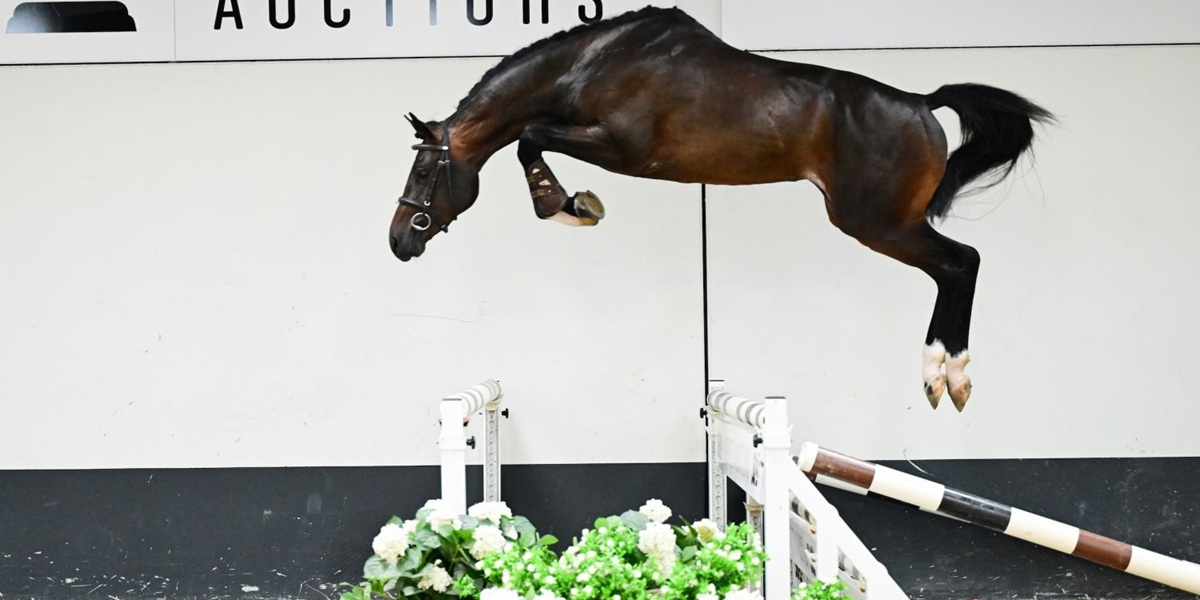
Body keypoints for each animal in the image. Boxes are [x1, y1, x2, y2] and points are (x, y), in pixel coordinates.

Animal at [388, 6, 1053, 412]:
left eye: (422, 171)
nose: (398, 240)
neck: (592, 64)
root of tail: (920, 102)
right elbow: (532, 136)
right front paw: (572, 203)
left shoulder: (622, 147)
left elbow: (529, 137)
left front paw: (568, 206)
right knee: (955, 267)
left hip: (876, 222)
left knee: (961, 263)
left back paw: (947, 373)